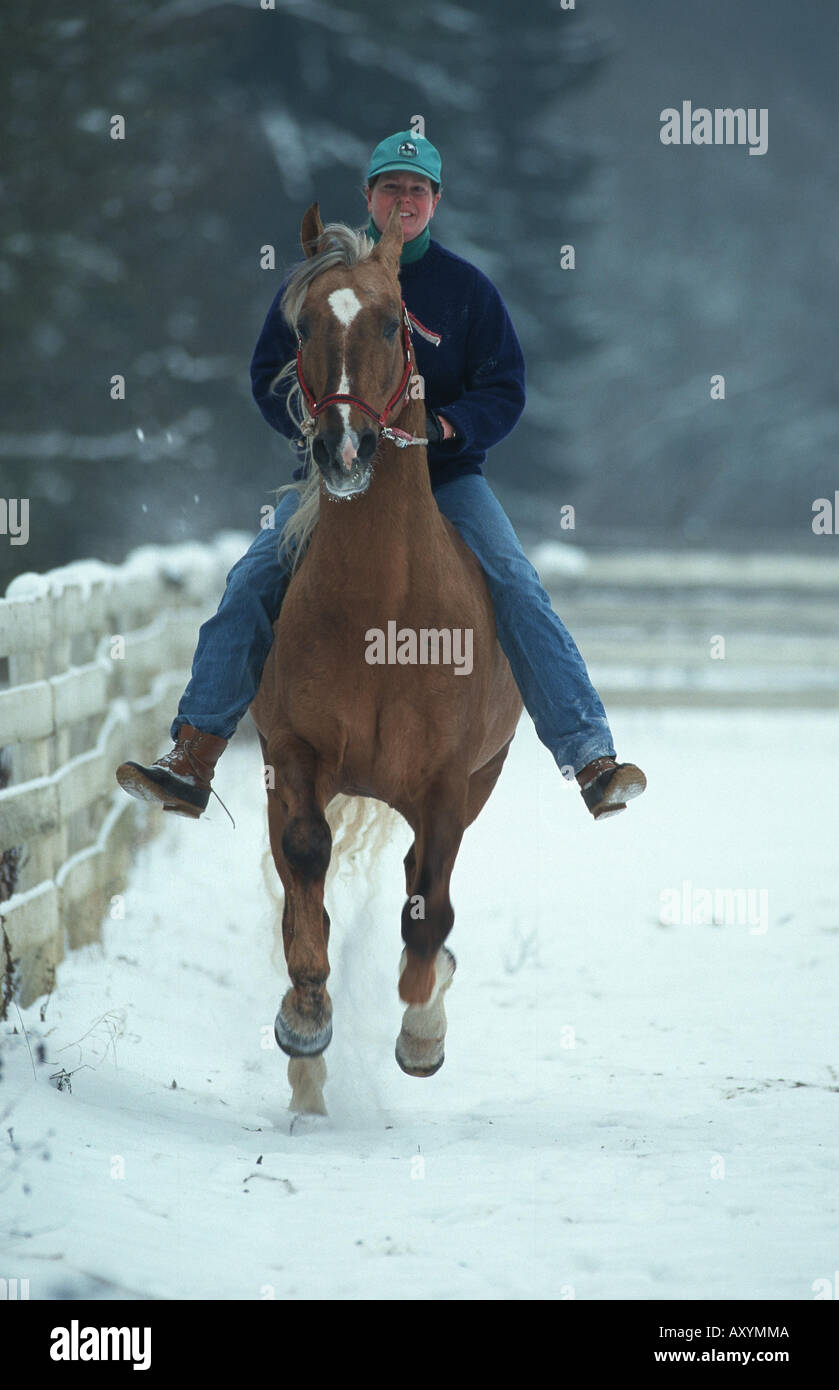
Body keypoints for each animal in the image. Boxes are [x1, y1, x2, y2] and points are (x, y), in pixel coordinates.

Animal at [249, 200, 523, 1114]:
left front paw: (420, 1030)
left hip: (478, 780)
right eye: (299, 323)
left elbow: (428, 912)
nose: (343, 449)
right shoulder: (292, 752)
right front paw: (305, 1021)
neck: (382, 612)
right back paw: (306, 1087)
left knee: (420, 893)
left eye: (389, 322)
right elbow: (306, 868)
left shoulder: (446, 783)